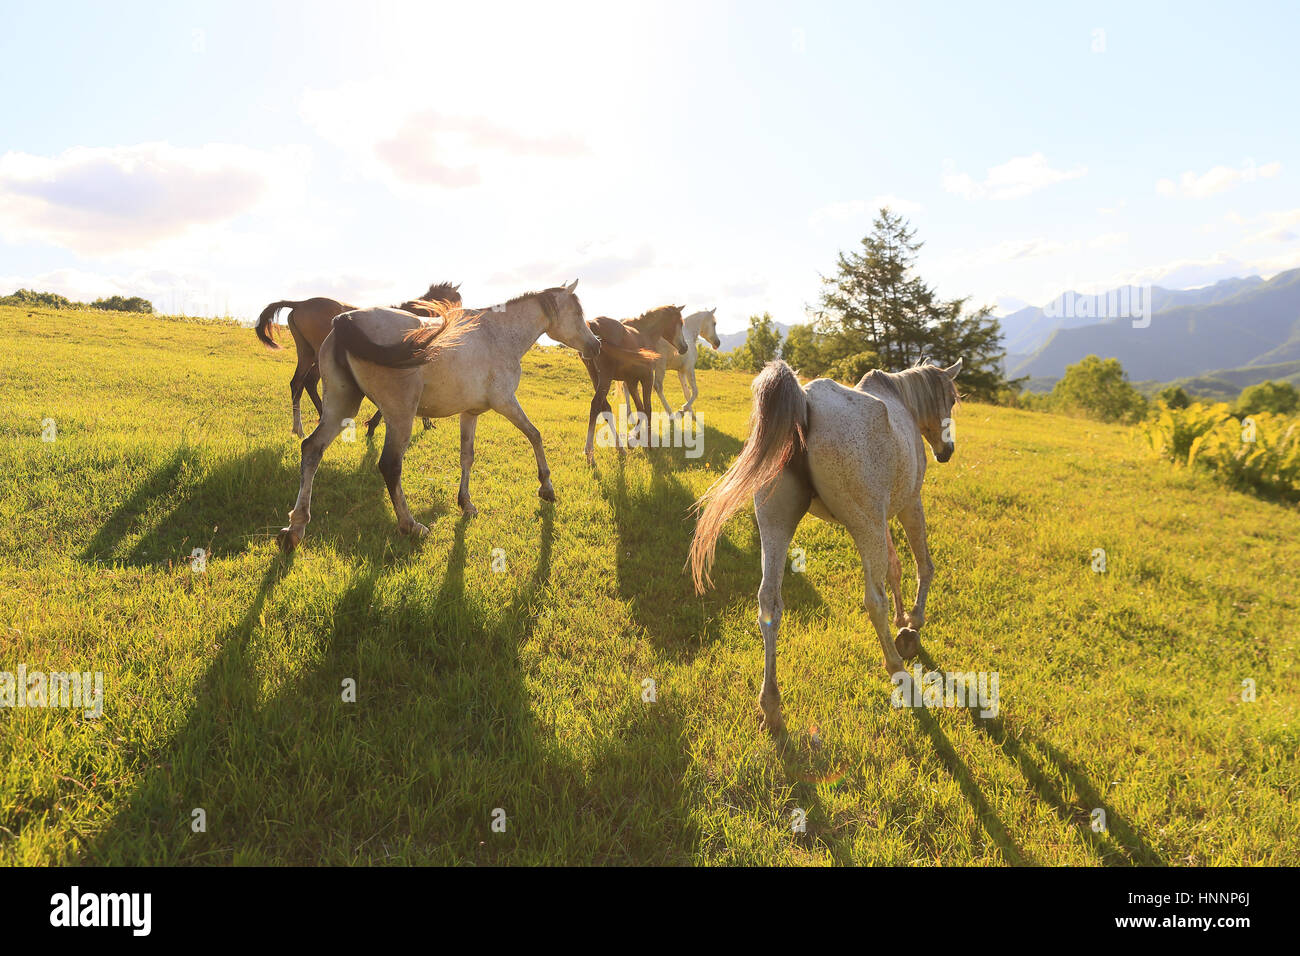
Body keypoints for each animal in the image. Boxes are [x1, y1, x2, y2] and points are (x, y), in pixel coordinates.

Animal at [255, 281, 462, 436]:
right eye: (457, 299)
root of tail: (301, 303)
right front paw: (373, 426)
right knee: (304, 382)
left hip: (307, 354)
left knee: (300, 382)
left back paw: (305, 425)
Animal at [582, 306, 688, 465]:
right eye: (680, 323)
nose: (684, 347)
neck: (645, 333)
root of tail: (593, 324)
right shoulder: (647, 378)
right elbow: (647, 409)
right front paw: (647, 444)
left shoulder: (631, 382)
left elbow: (640, 409)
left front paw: (634, 439)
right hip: (605, 377)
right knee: (595, 405)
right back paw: (590, 455)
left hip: (596, 378)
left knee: (605, 408)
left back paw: (620, 449)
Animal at [688, 357, 963, 735]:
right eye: (950, 399)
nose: (947, 452)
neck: (899, 399)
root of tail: (804, 402)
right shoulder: (908, 504)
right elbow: (922, 564)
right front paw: (911, 623)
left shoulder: (882, 518)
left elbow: (895, 567)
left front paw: (902, 616)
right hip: (865, 525)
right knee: (873, 599)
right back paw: (896, 667)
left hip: (777, 522)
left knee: (770, 602)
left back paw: (771, 707)